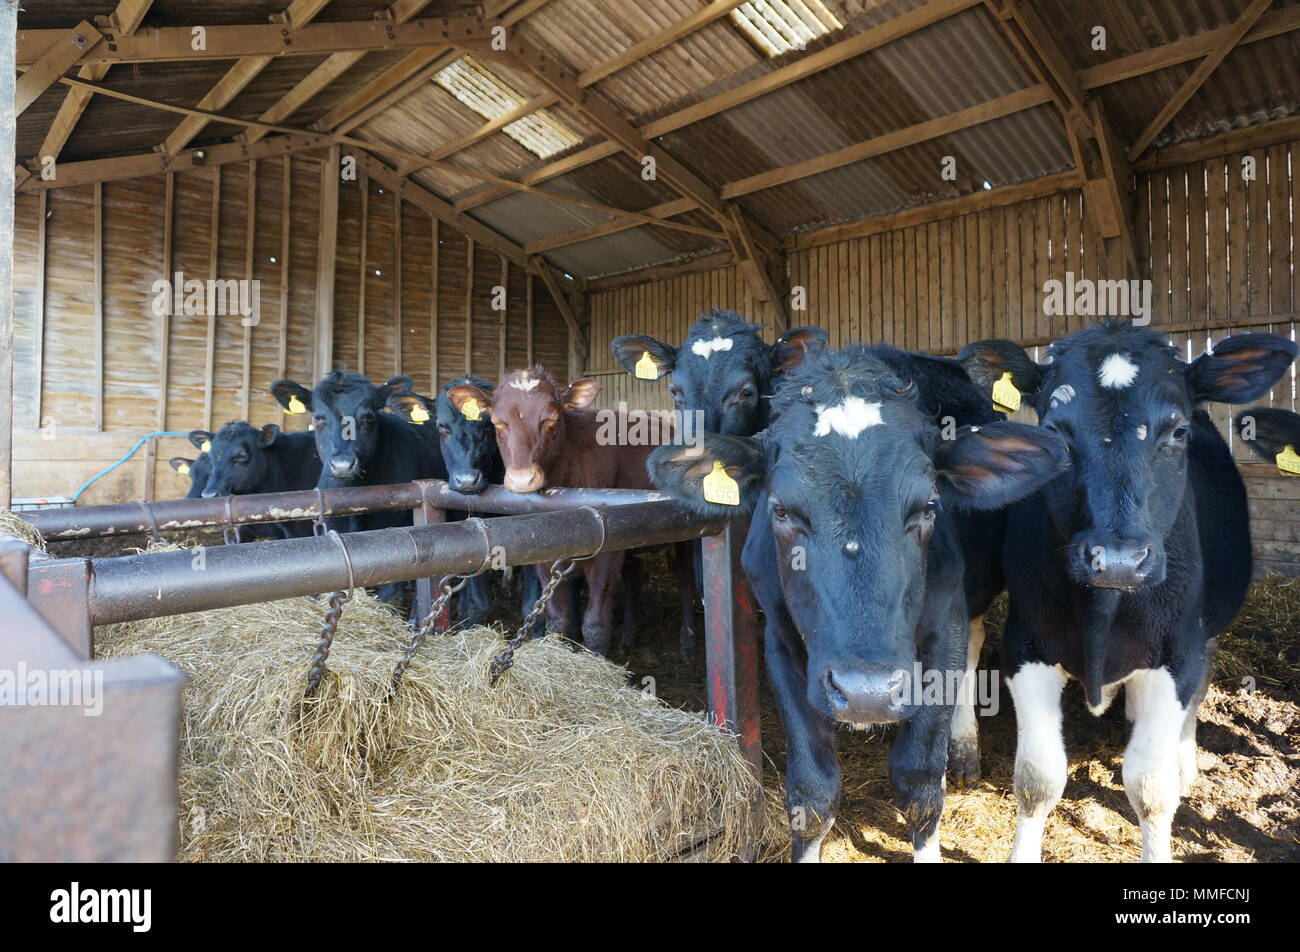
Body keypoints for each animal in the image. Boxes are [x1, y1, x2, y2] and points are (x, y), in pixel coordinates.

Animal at [443, 366, 675, 657]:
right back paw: (630, 636)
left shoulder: (608, 550)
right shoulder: (544, 557)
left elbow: (596, 624)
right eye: (497, 423)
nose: (522, 479)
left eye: (551, 420)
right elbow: (558, 620)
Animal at [648, 344, 1069, 861]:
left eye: (930, 505)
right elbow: (812, 792)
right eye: (780, 509)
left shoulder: (942, 632)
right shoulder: (782, 643)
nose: (867, 692)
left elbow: (919, 782)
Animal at [962, 324, 1297, 863]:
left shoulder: (1178, 655)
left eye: (1177, 431)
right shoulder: (1024, 646)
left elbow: (1152, 788)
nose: (1117, 558)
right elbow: (1036, 780)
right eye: (1055, 431)